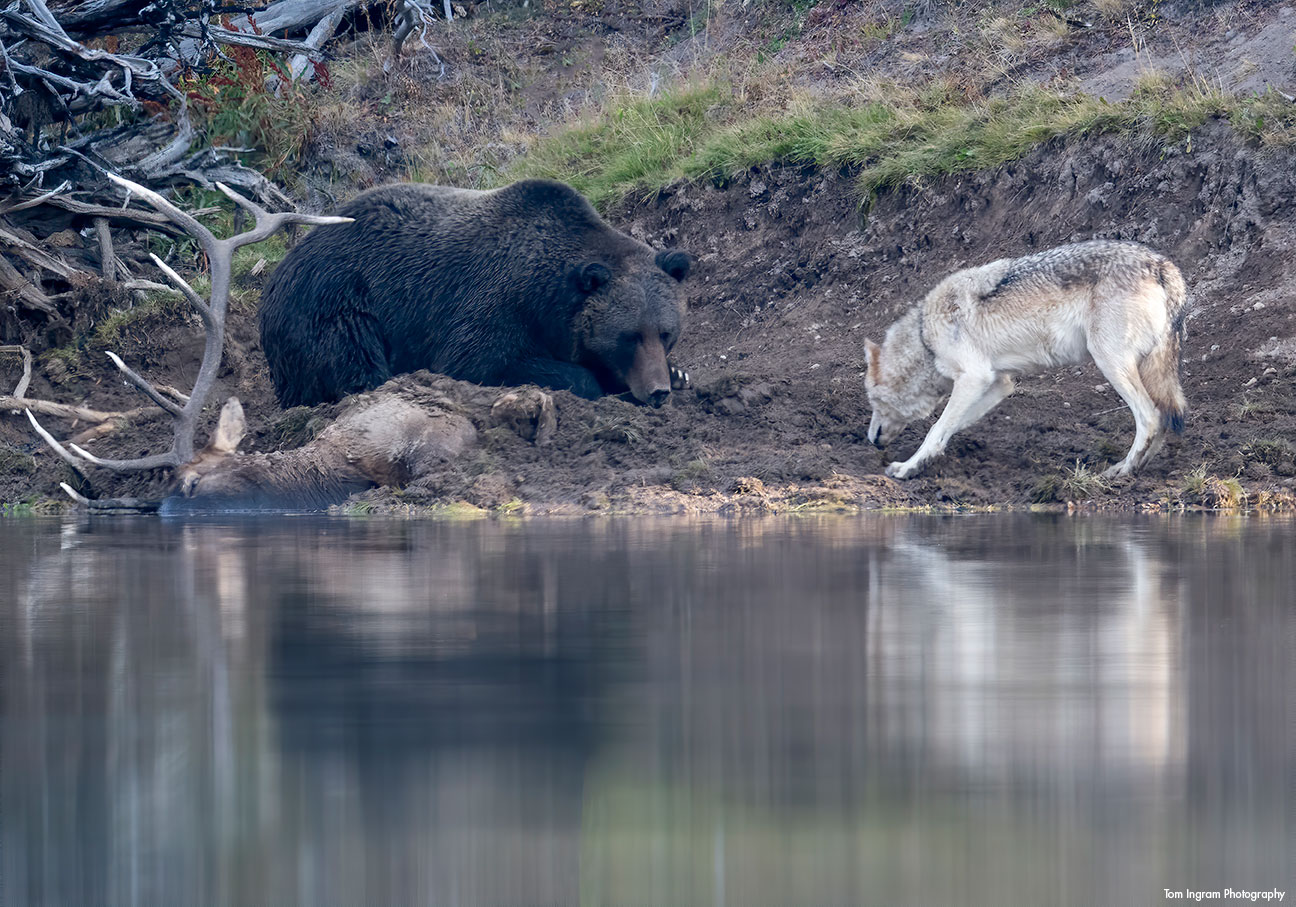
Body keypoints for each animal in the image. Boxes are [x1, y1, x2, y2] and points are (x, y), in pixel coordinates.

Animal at [863, 240, 1189, 479]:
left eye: (872, 401)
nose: (870, 439)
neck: (924, 336)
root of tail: (1163, 265)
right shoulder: (998, 383)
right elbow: (952, 425)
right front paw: (927, 459)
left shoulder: (973, 378)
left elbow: (936, 427)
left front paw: (907, 467)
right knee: (1163, 419)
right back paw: (1138, 468)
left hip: (1109, 362)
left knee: (1150, 417)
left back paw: (1124, 470)